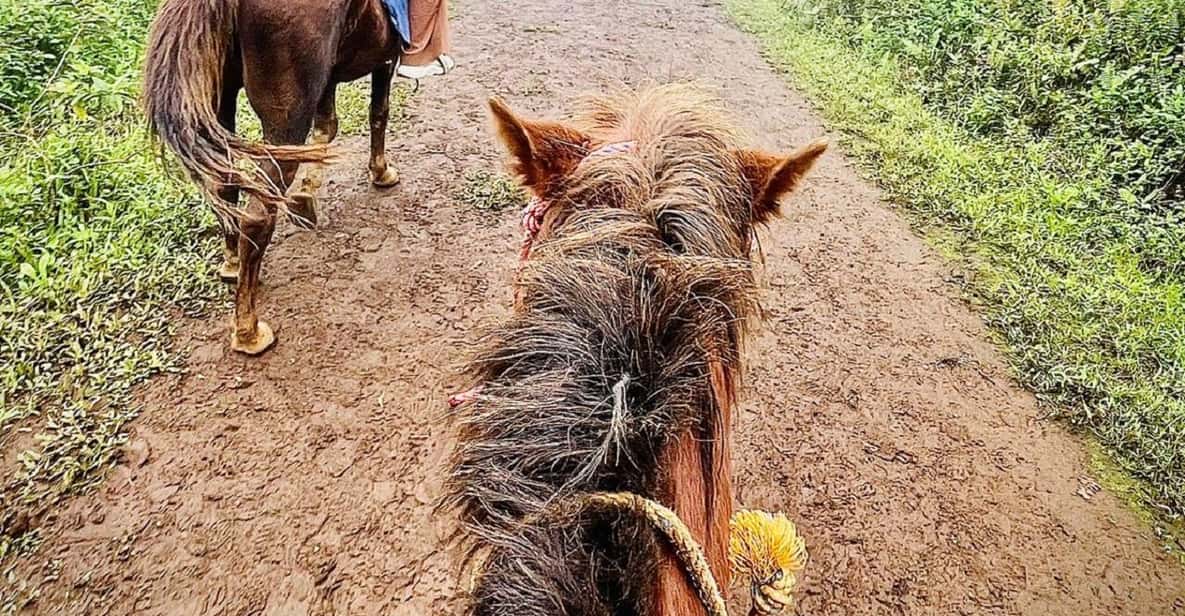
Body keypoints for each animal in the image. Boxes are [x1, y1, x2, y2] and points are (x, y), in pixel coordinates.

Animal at [143, 0, 405, 355]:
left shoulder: (328, 75)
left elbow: (327, 127)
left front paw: (304, 200)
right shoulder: (385, 59)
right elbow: (378, 112)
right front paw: (381, 172)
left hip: (223, 98)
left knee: (226, 185)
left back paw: (233, 264)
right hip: (285, 121)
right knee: (256, 215)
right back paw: (249, 332)